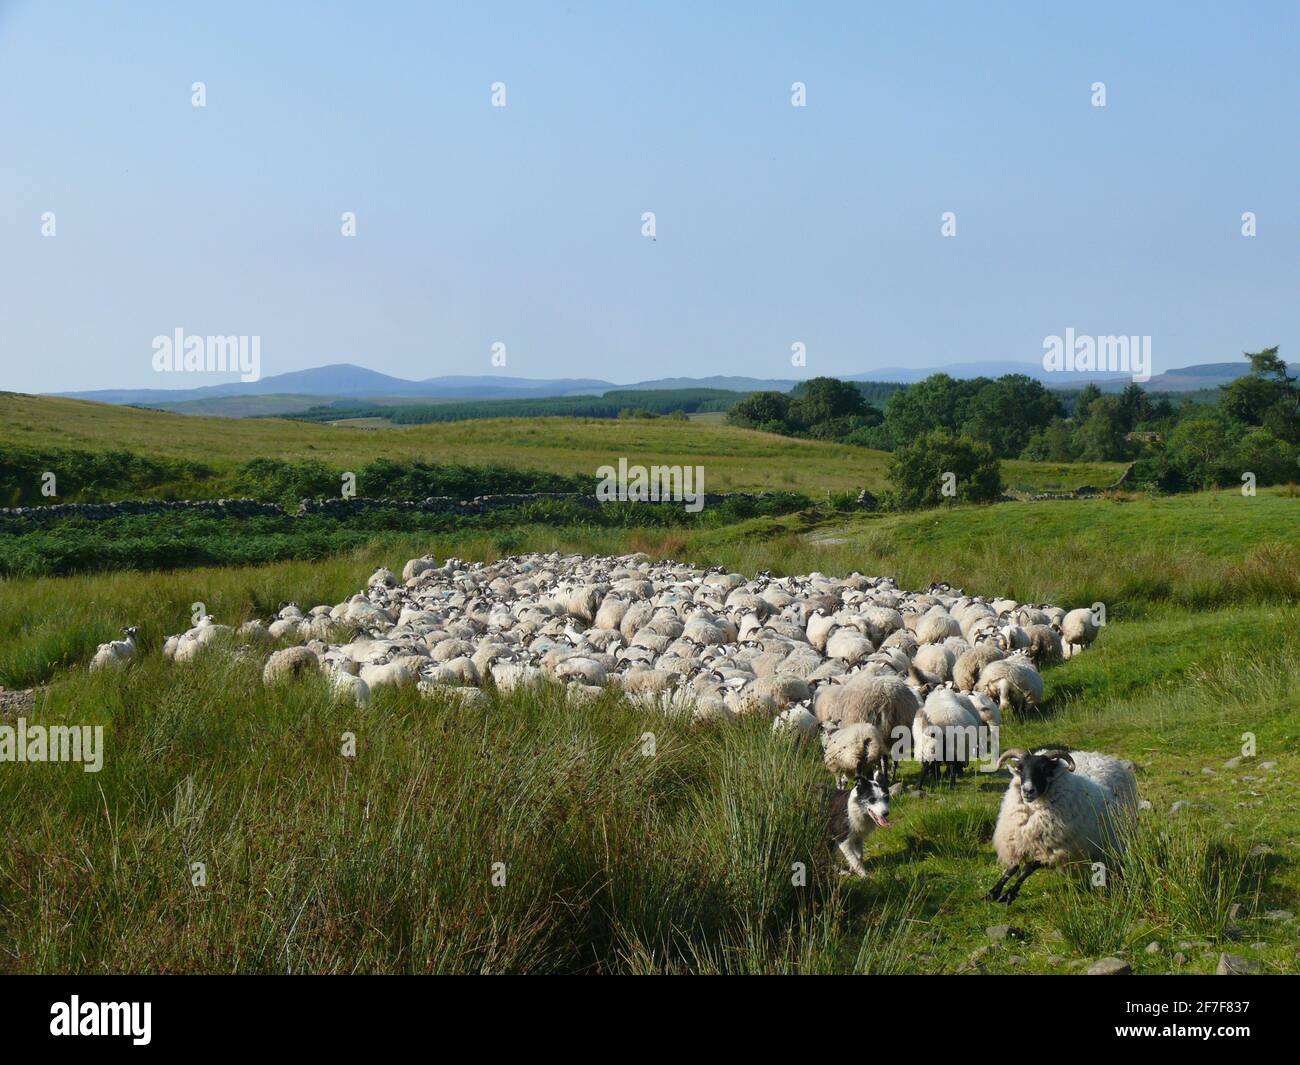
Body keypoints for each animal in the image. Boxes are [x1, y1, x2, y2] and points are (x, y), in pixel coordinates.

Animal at [986, 748, 1138, 904]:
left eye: (1045, 770)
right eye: (1020, 769)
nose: (1027, 790)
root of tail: (1104, 757)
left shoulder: (1055, 849)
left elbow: (1027, 868)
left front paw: (1010, 893)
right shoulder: (1016, 842)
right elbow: (1012, 867)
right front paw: (993, 892)